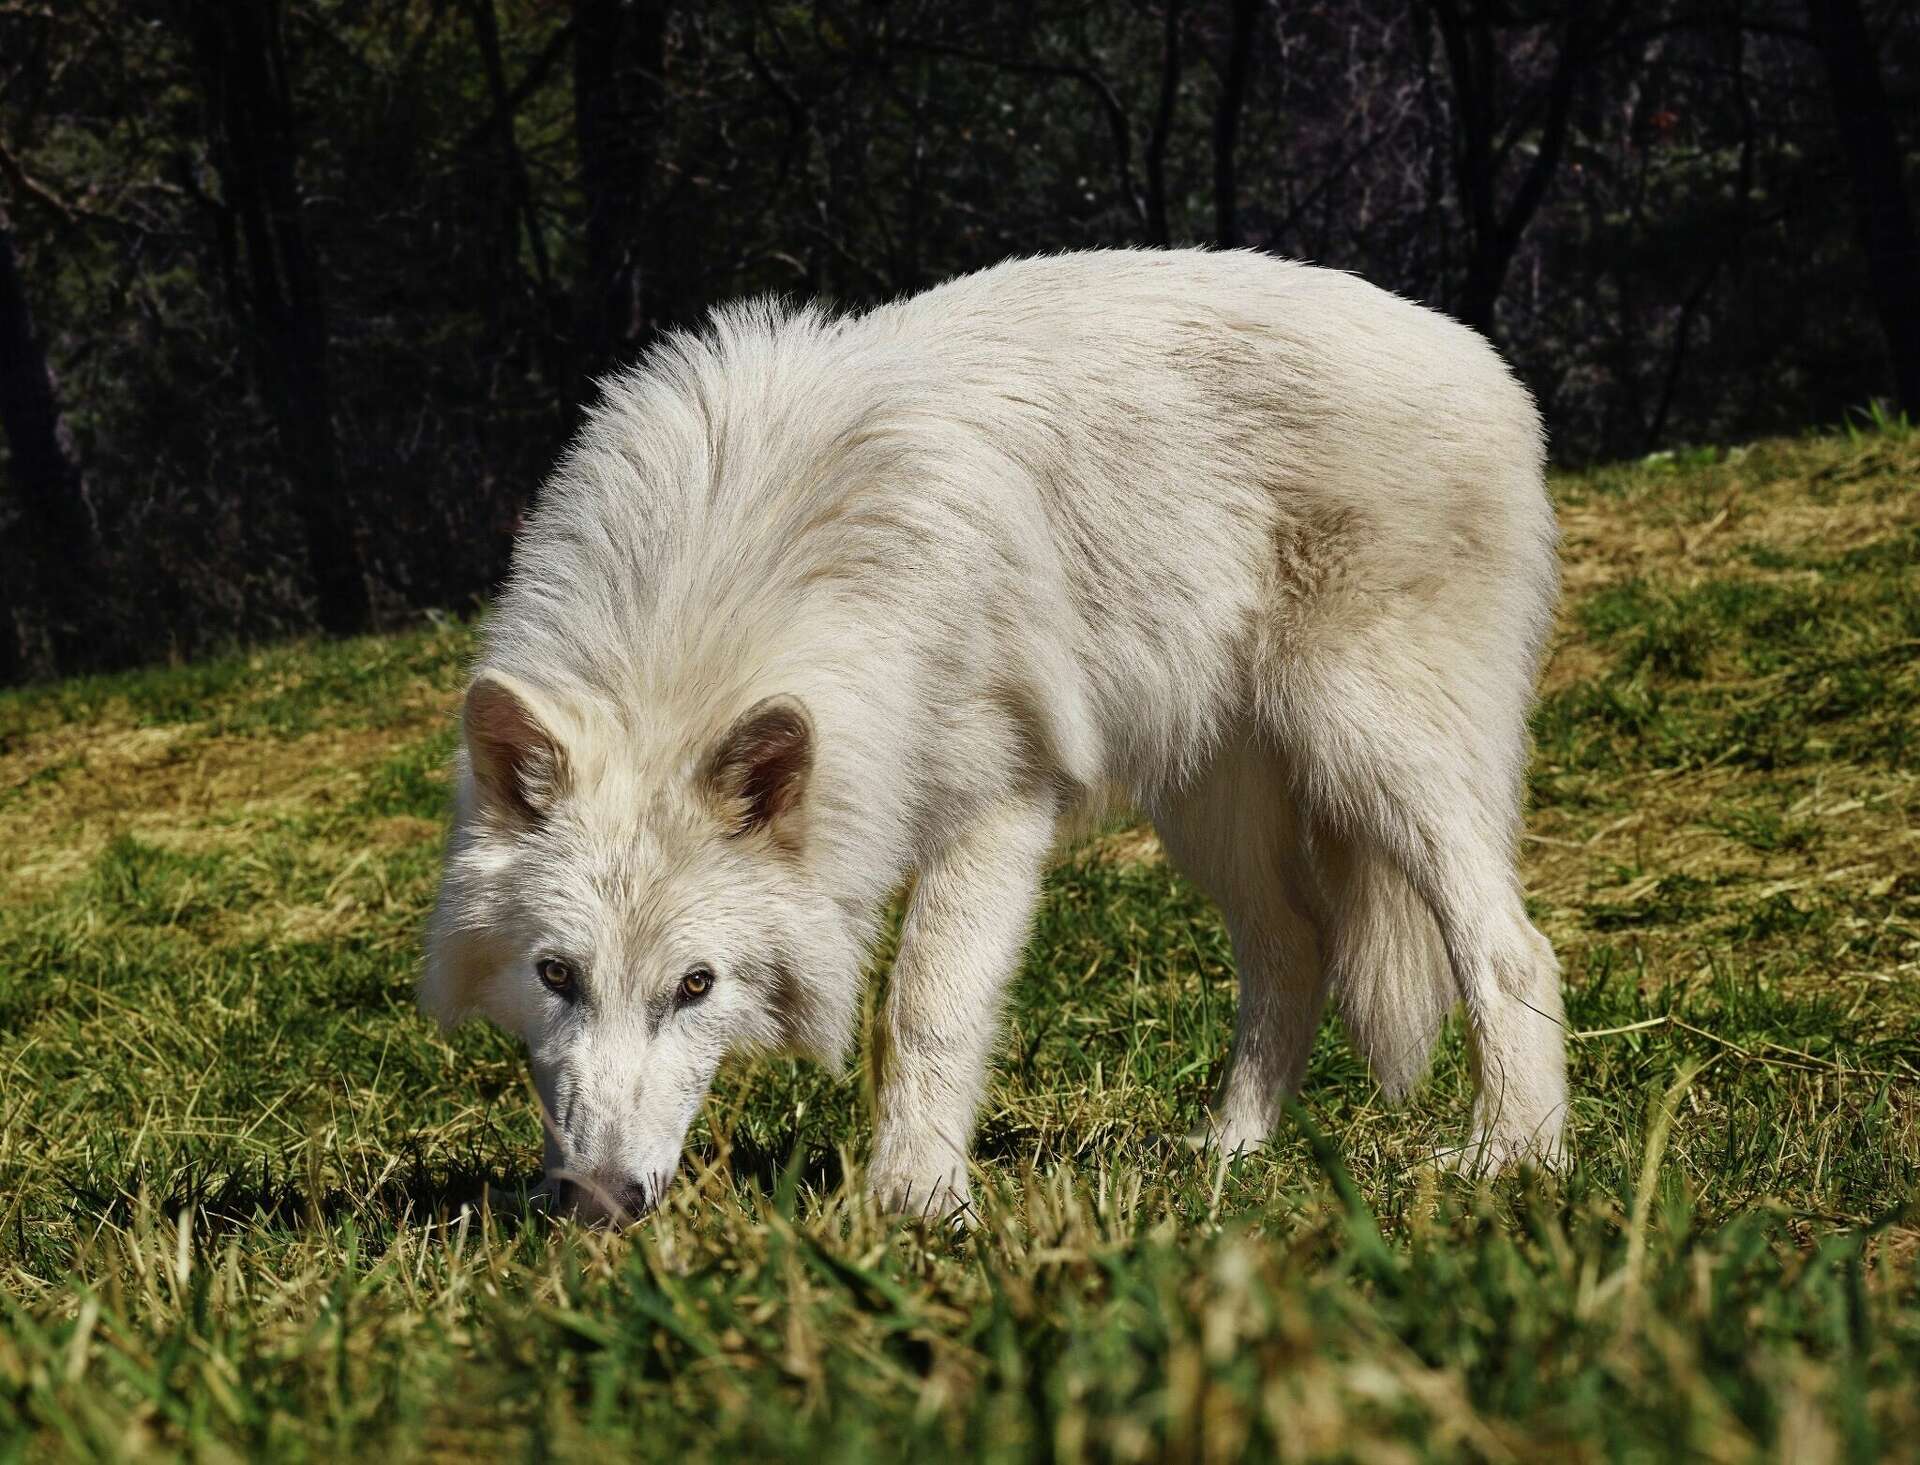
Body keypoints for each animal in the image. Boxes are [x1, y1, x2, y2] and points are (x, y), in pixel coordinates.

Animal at [422, 248, 1566, 1224]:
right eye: (556, 975)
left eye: (696, 985)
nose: (596, 1203)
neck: (732, 581)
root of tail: (1482, 359)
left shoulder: (999, 806)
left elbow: (926, 1007)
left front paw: (918, 1201)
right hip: (1211, 809)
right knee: (1296, 949)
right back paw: (1231, 1152)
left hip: (1375, 755)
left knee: (1511, 947)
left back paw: (1514, 1155)